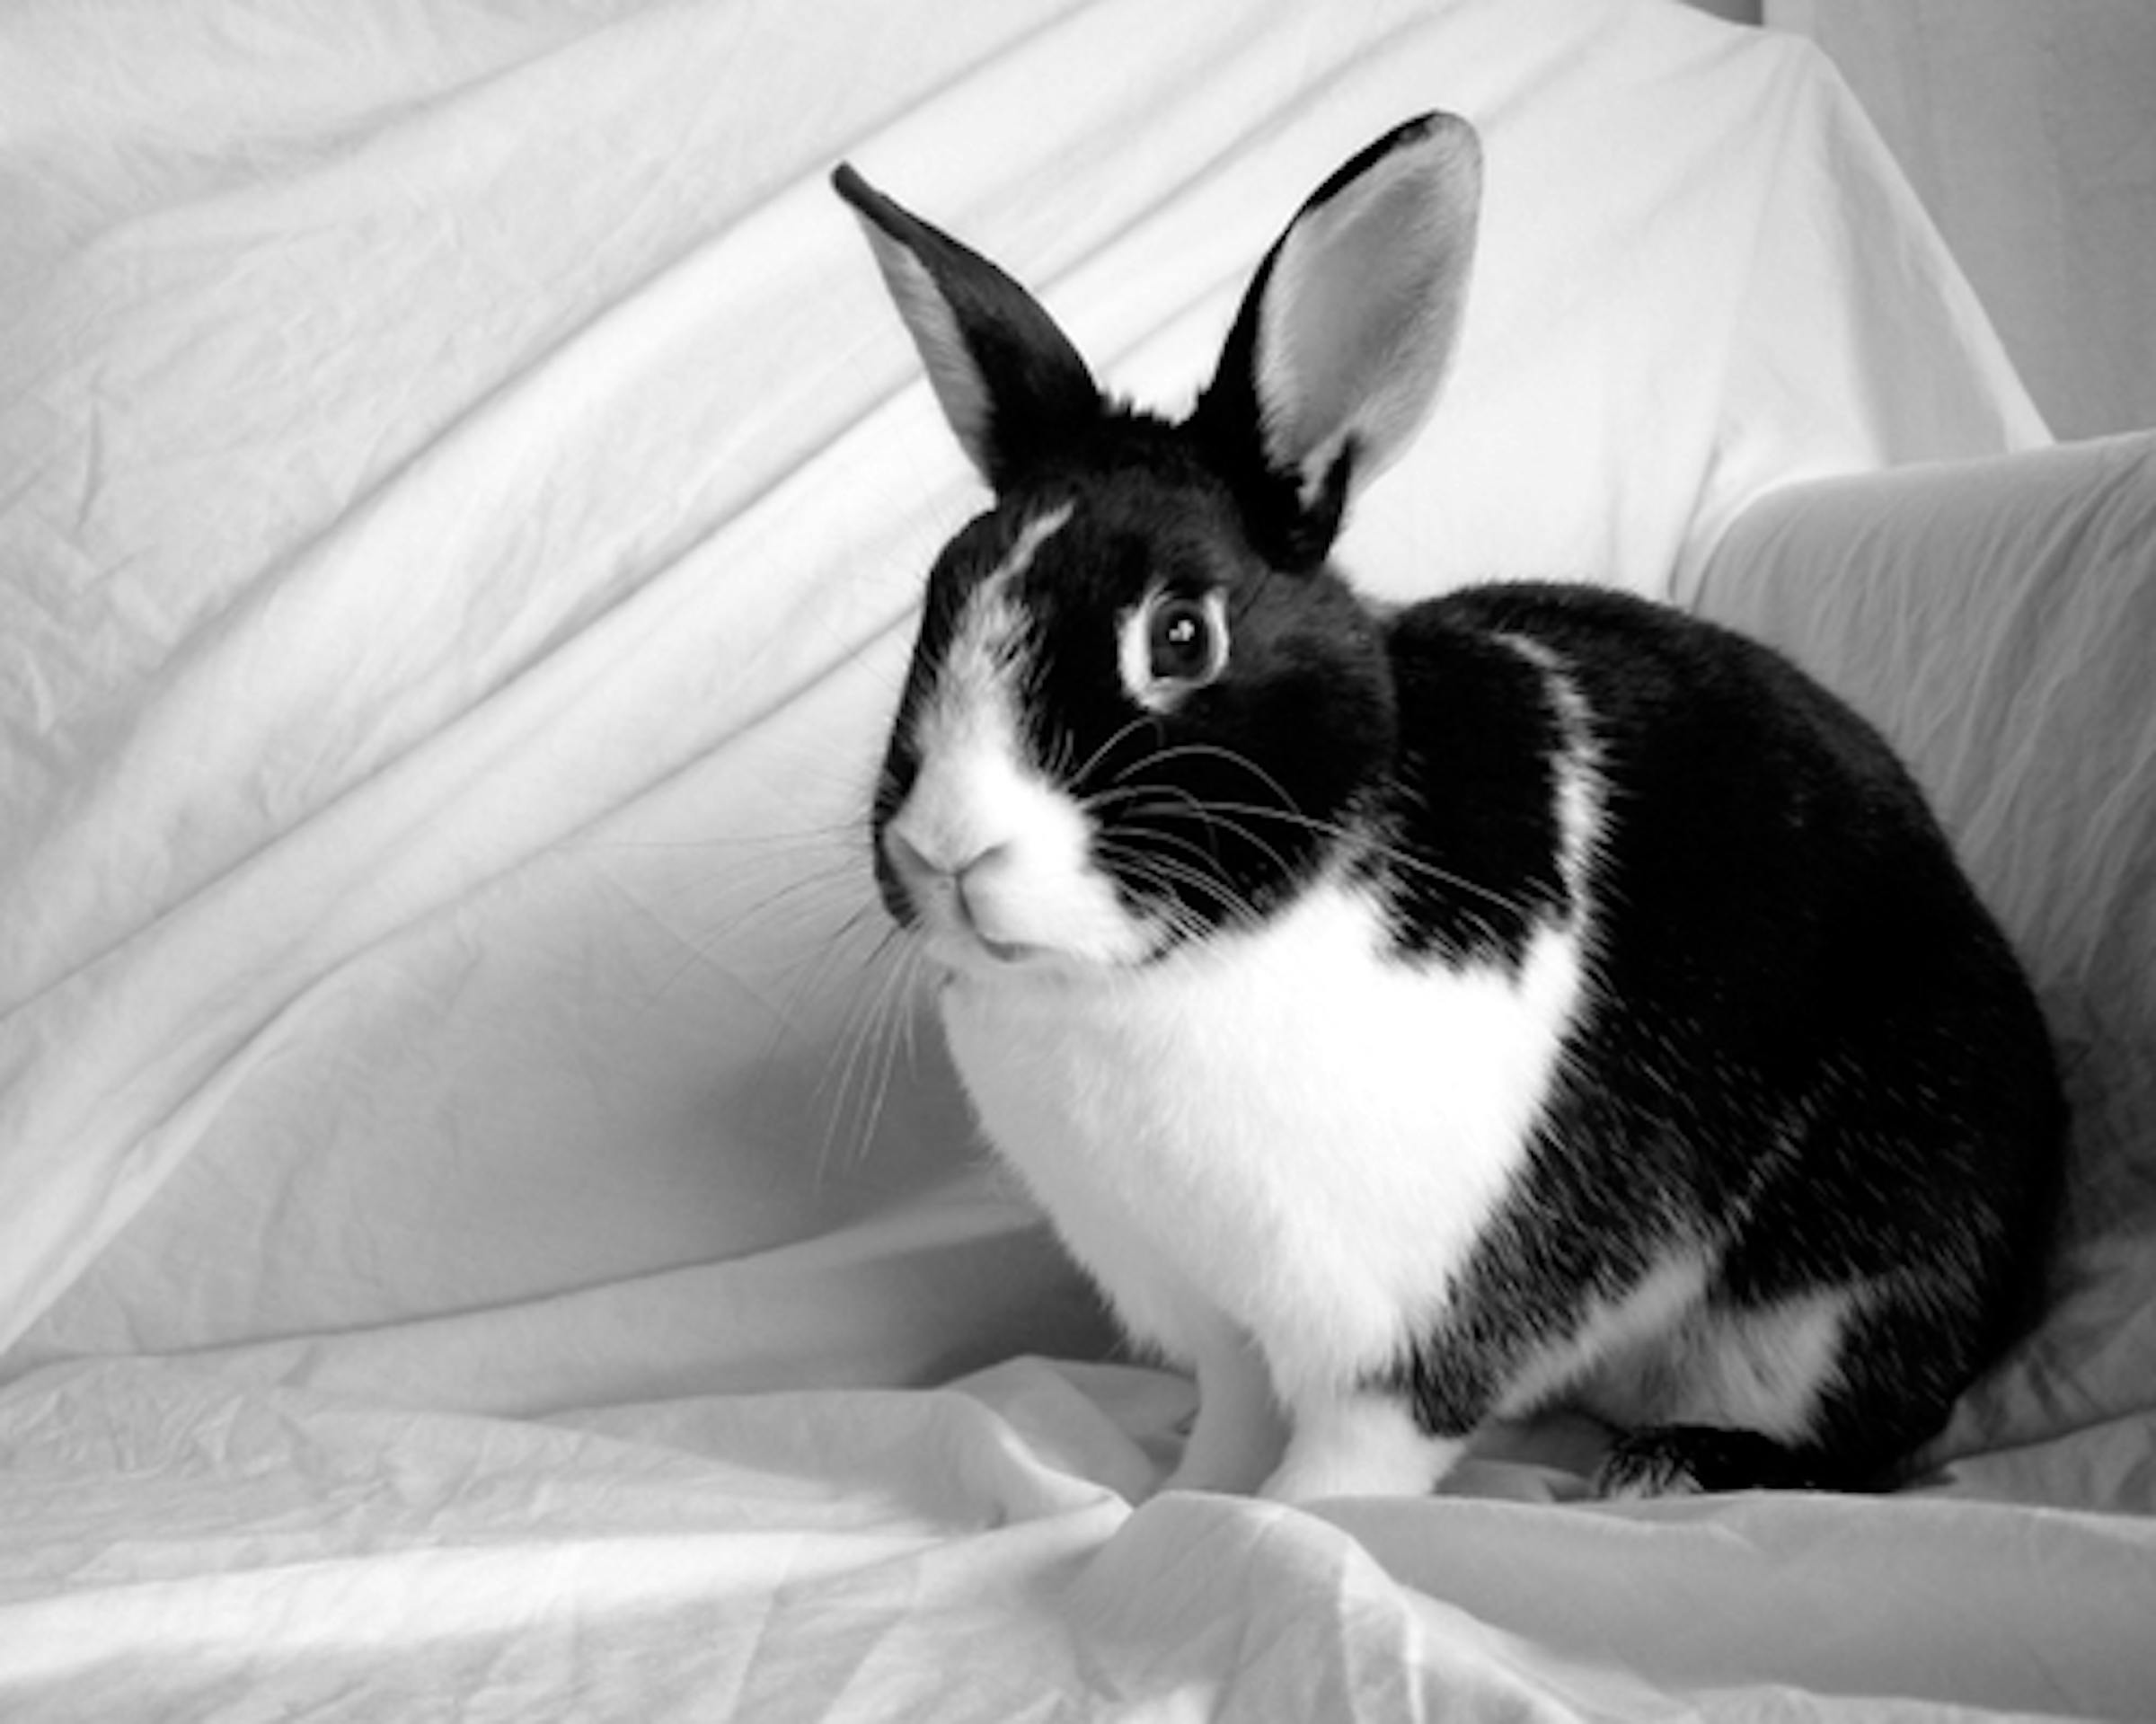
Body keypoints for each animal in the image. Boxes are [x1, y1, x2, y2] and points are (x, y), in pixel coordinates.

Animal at [833, 112, 2064, 1502]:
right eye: (941, 596)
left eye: (1182, 634)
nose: (947, 849)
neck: (1178, 963)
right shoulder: (1224, 1316)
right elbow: (1230, 1423)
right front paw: (1180, 1503)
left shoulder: (1406, 1326)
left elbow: (1345, 1462)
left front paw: (1278, 1522)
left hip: (1848, 1275)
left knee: (1864, 1441)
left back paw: (1668, 1465)